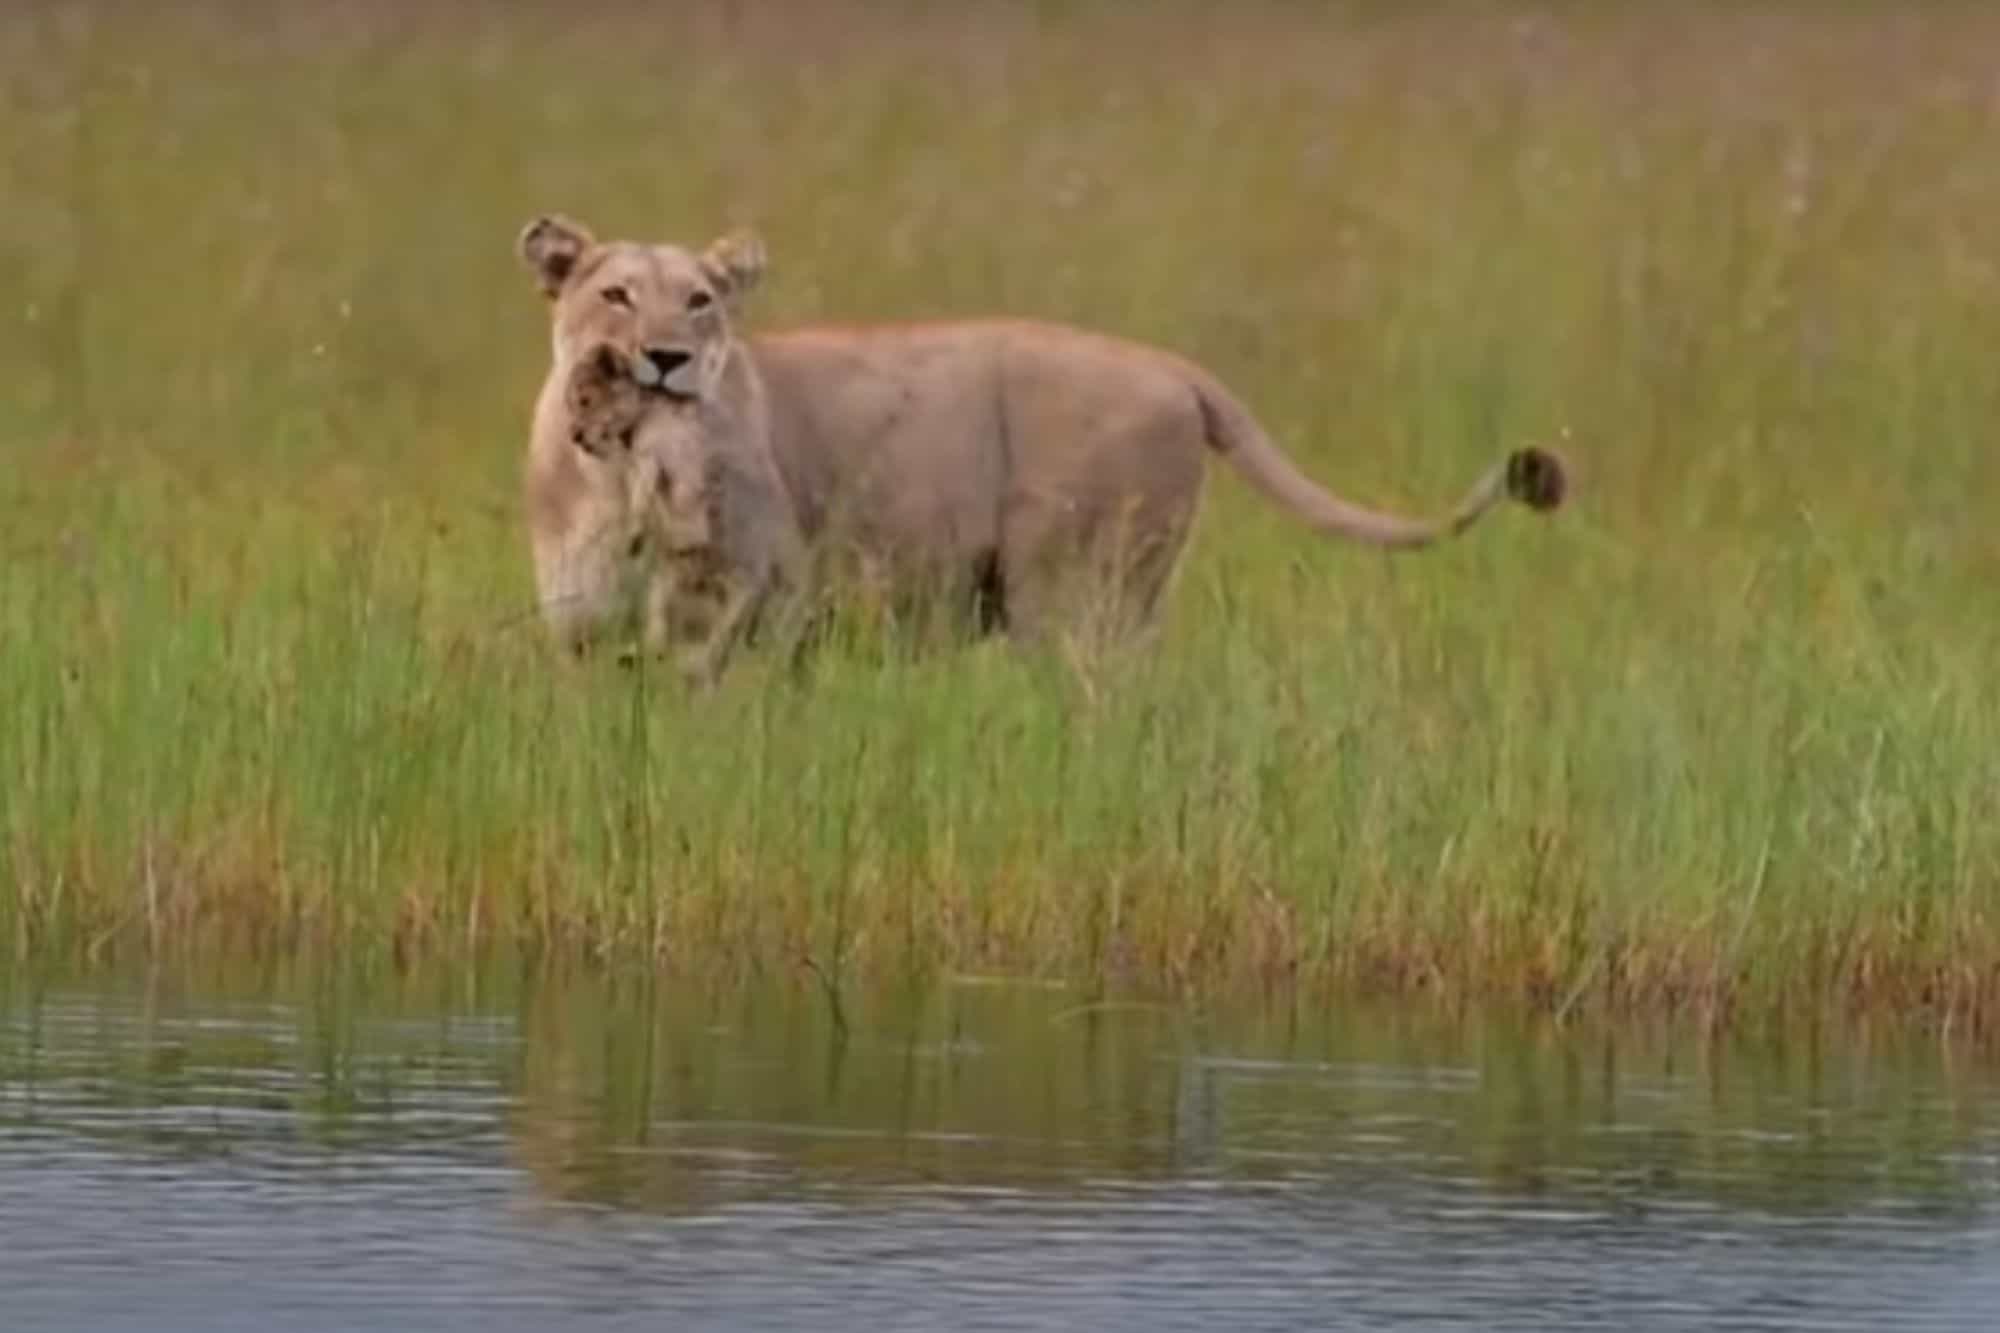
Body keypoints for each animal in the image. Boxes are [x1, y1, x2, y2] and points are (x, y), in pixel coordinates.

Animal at [518, 214, 1564, 674]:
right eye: (616, 293)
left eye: (700, 299)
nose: (665, 359)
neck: (618, 477)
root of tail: (1175, 365)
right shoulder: (583, 622)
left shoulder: (756, 598)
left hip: (1072, 597)